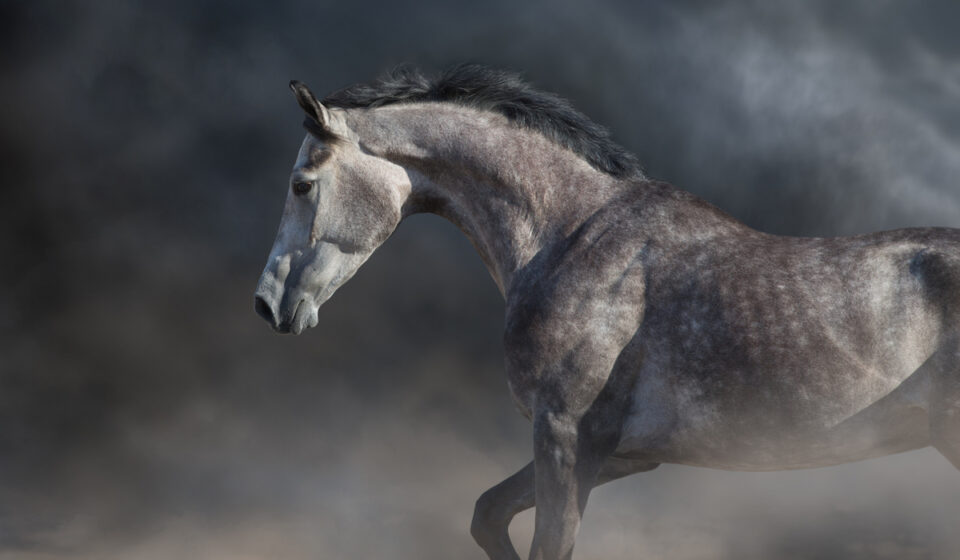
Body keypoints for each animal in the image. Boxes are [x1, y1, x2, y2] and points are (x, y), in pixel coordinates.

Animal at [254, 65, 960, 560]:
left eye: (302, 184)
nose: (268, 304)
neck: (568, 234)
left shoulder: (566, 439)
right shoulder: (615, 455)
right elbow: (488, 514)